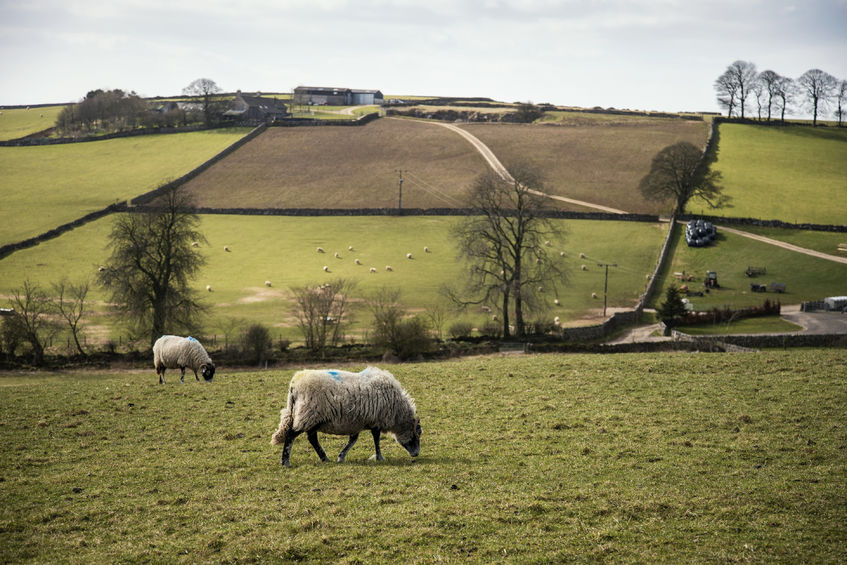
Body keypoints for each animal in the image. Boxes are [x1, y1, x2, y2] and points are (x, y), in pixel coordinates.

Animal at [270, 368, 422, 464]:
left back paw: (324, 458)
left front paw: (341, 456)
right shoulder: (375, 420)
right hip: (307, 414)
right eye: (417, 434)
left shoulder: (357, 422)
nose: (416, 454)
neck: (397, 413)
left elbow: (353, 439)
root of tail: (294, 384)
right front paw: (380, 457)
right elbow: (376, 439)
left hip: (312, 418)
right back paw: (285, 461)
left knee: (312, 438)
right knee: (291, 435)